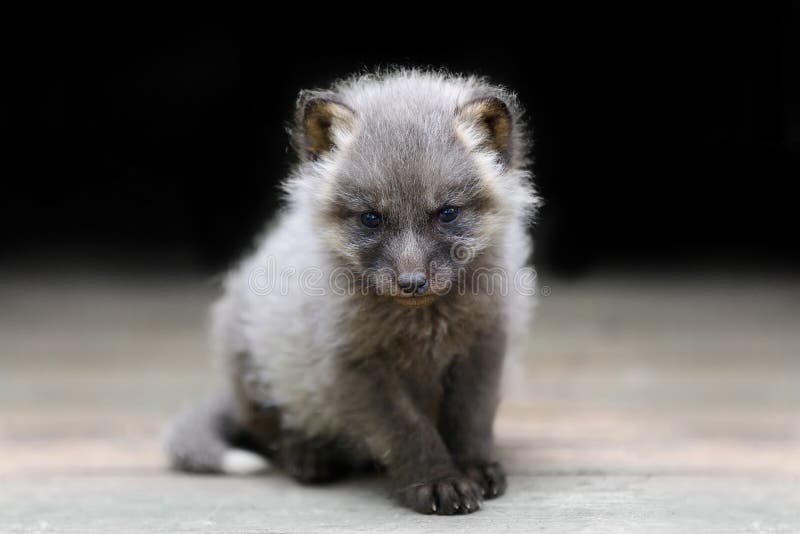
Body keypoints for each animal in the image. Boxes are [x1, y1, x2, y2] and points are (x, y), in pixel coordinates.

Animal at [165, 69, 539, 515]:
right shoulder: (355, 365)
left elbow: (470, 419)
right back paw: (308, 457)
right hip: (254, 374)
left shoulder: (484, 346)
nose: (412, 283)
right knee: (272, 433)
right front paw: (437, 482)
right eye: (371, 218)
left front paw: (475, 470)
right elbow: (408, 431)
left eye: (447, 213)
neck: (423, 329)